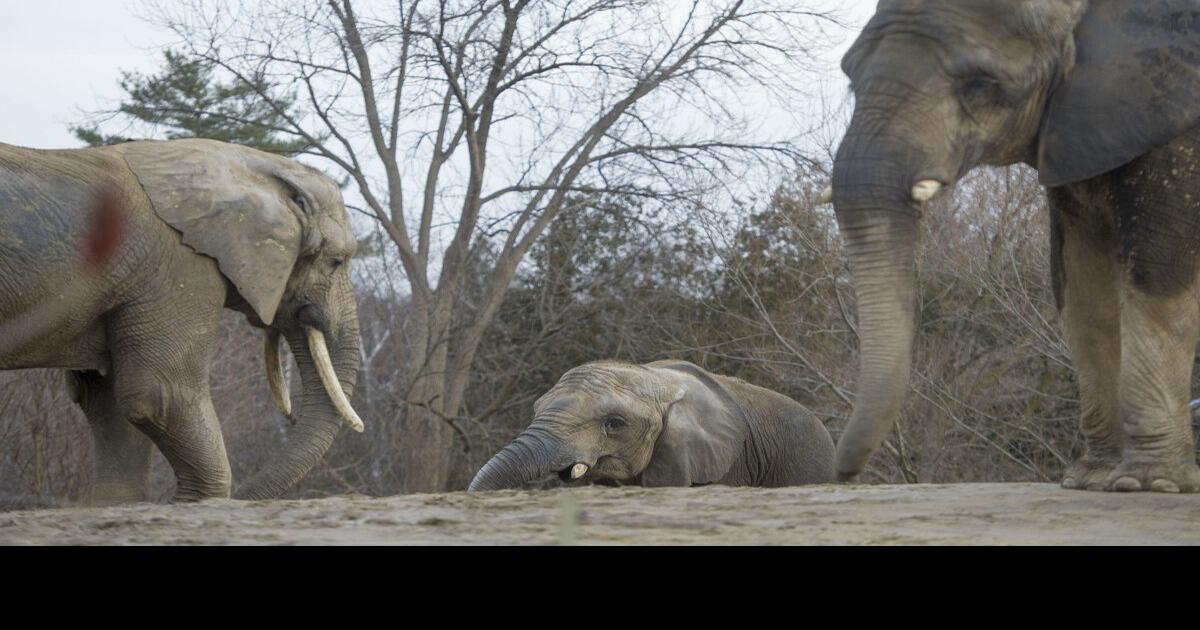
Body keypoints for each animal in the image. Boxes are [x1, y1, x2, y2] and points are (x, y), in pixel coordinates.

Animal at [0, 138, 365, 503]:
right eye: (336, 261)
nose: (289, 415)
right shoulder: (180, 269)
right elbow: (160, 393)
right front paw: (198, 502)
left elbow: (108, 404)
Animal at [823, 0, 1200, 492]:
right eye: (850, 75)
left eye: (981, 84)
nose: (843, 475)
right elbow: (1083, 287)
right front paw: (1091, 480)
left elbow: (1159, 271)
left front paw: (1148, 484)